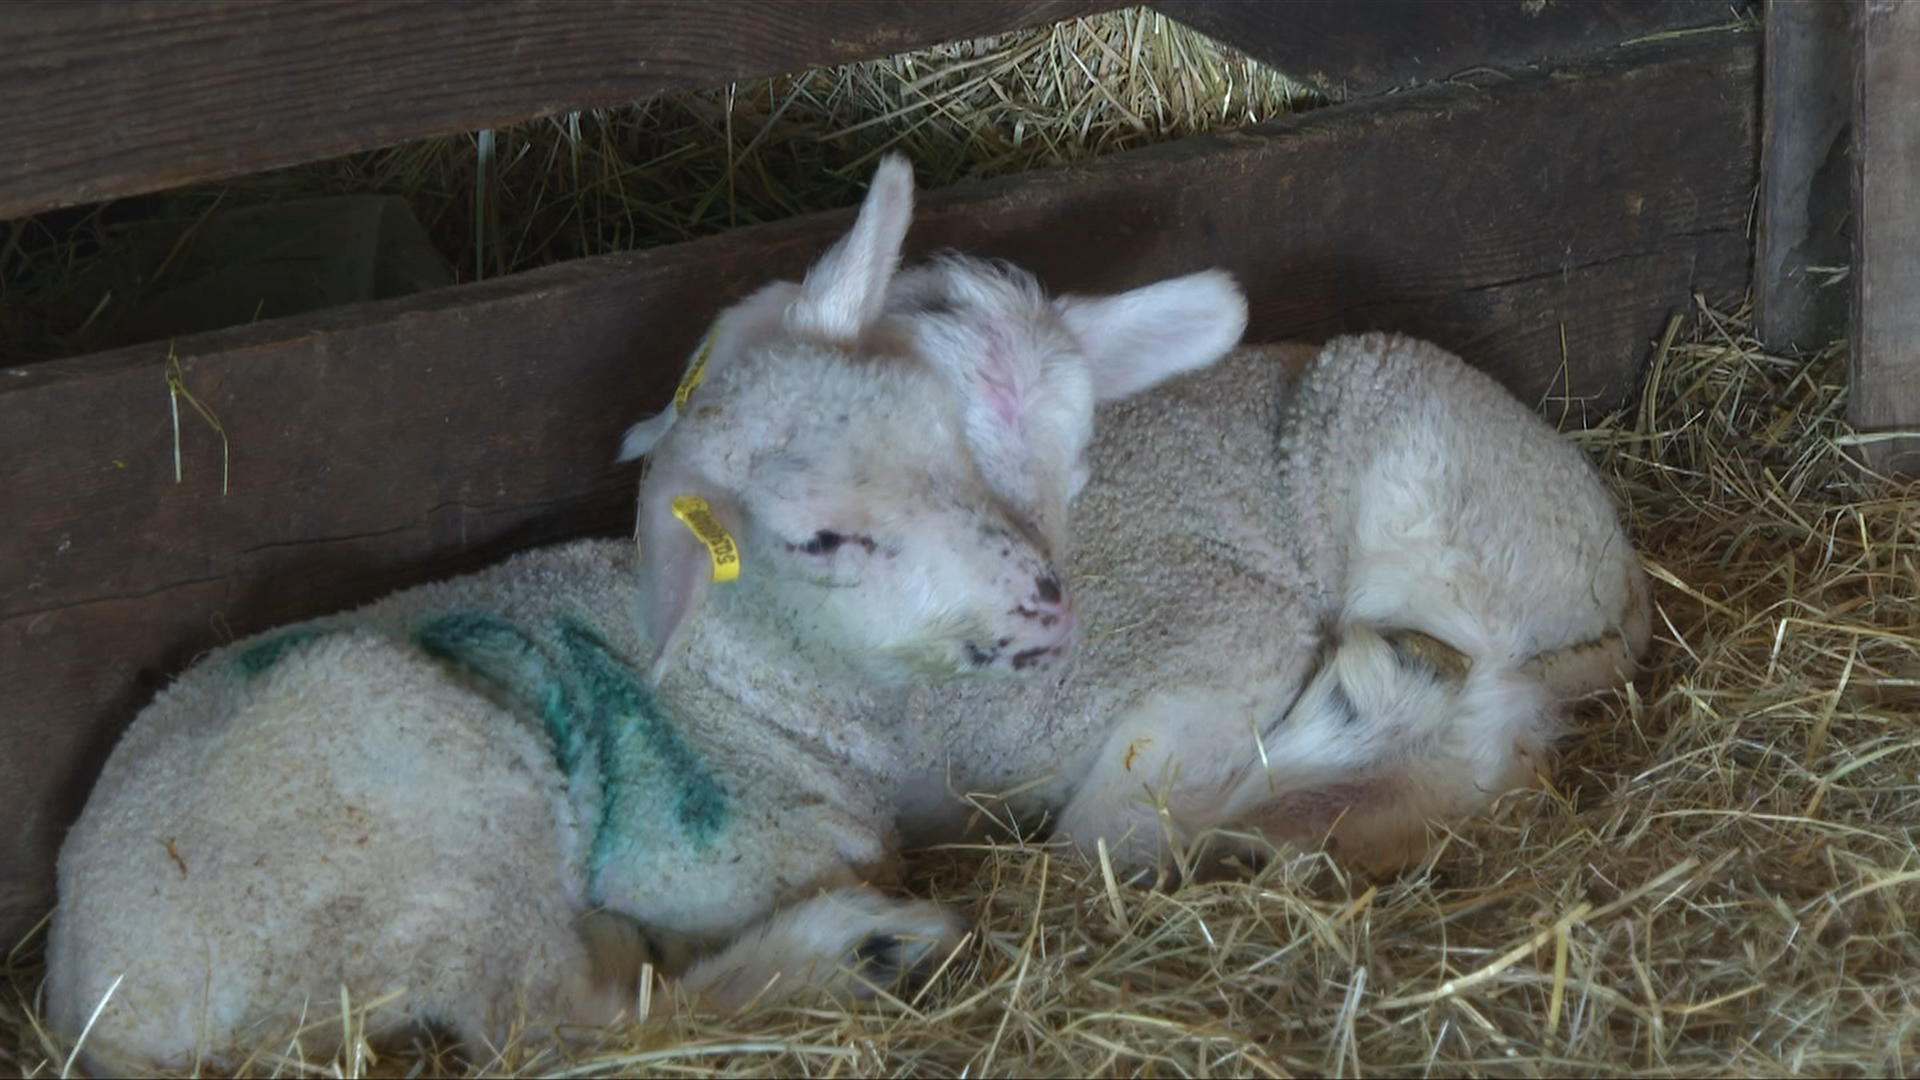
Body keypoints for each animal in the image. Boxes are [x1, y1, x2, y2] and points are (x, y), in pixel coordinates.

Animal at [42, 154, 1250, 1075]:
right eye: (822, 538)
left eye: (942, 432)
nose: (1046, 603)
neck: (752, 678)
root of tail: (98, 1004)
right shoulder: (709, 861)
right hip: (428, 803)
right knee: (560, 1030)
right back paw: (860, 949)